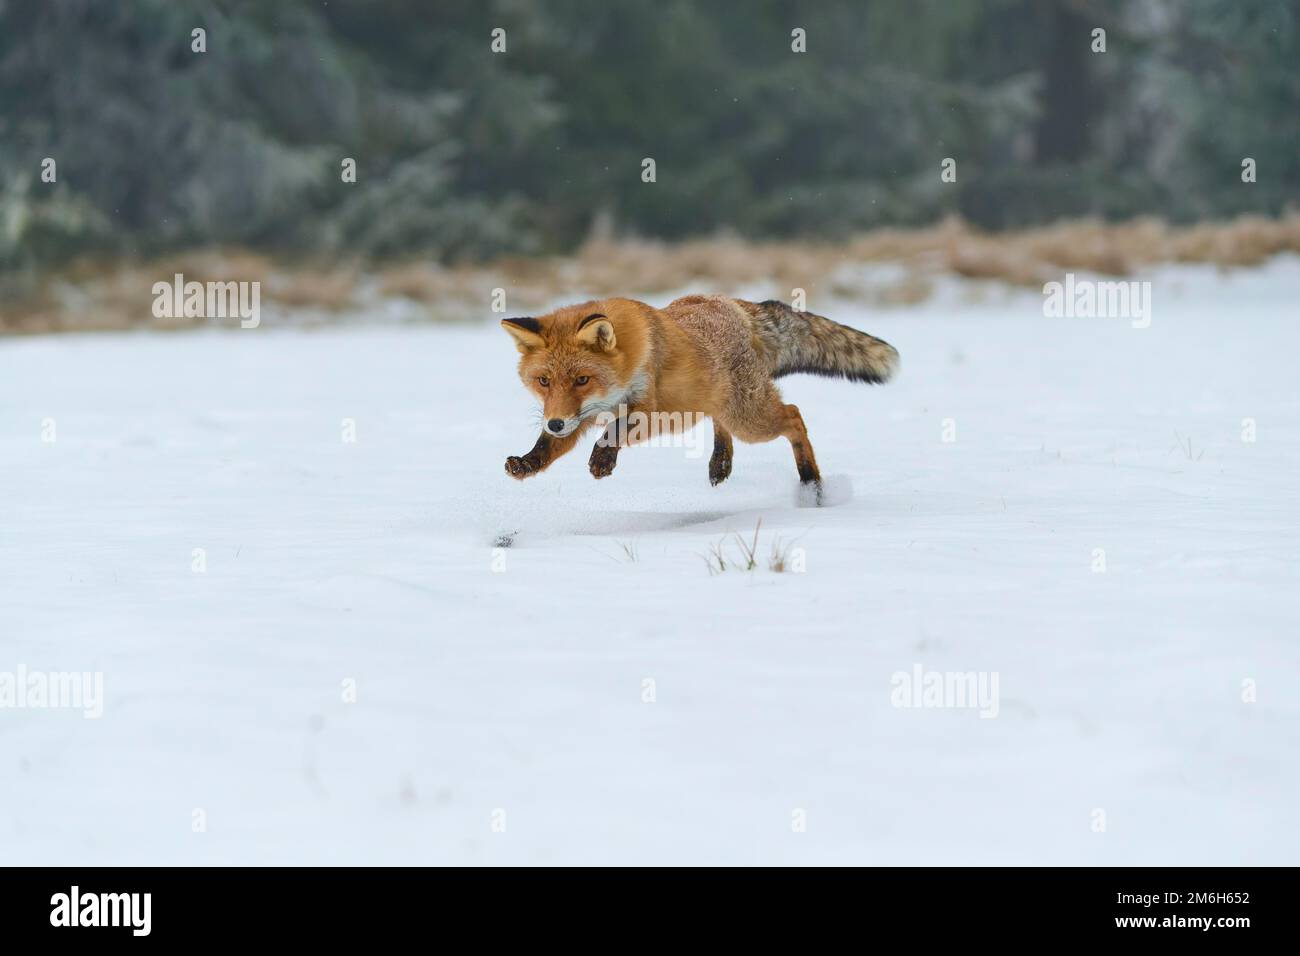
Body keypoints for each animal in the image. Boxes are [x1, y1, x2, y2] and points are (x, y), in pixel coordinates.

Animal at [500, 295, 899, 493]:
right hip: (719, 404)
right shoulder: (575, 415)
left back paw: (810, 481)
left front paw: (602, 459)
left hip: (749, 417)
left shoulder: (650, 408)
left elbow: (615, 430)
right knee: (723, 423)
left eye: (582, 379)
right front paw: (527, 463)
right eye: (544, 381)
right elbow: (547, 448)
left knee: (794, 415)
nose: (554, 423)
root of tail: (729, 301)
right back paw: (721, 463)